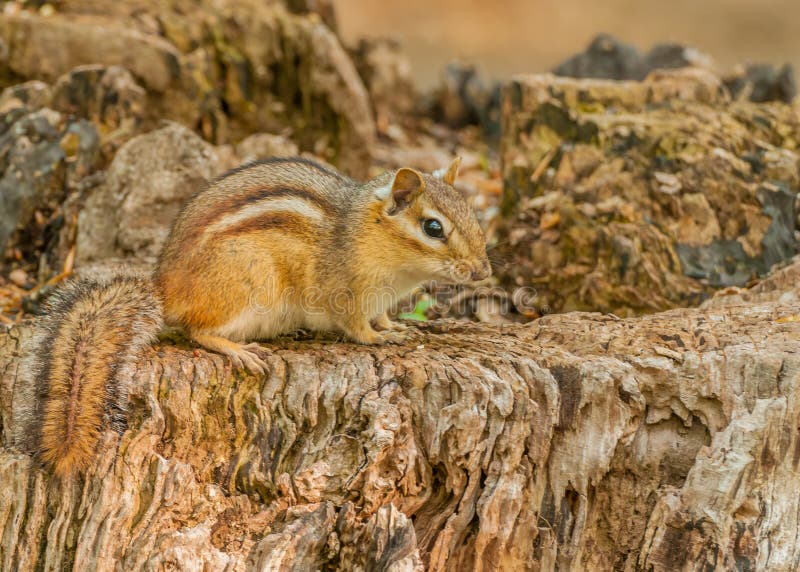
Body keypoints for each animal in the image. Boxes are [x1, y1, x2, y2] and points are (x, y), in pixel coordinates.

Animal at [23, 156, 491, 477]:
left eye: (473, 215)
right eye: (433, 228)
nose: (483, 271)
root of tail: (163, 289)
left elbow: (381, 319)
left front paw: (396, 327)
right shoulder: (347, 293)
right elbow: (356, 328)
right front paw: (378, 339)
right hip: (248, 284)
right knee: (196, 330)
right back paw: (237, 349)